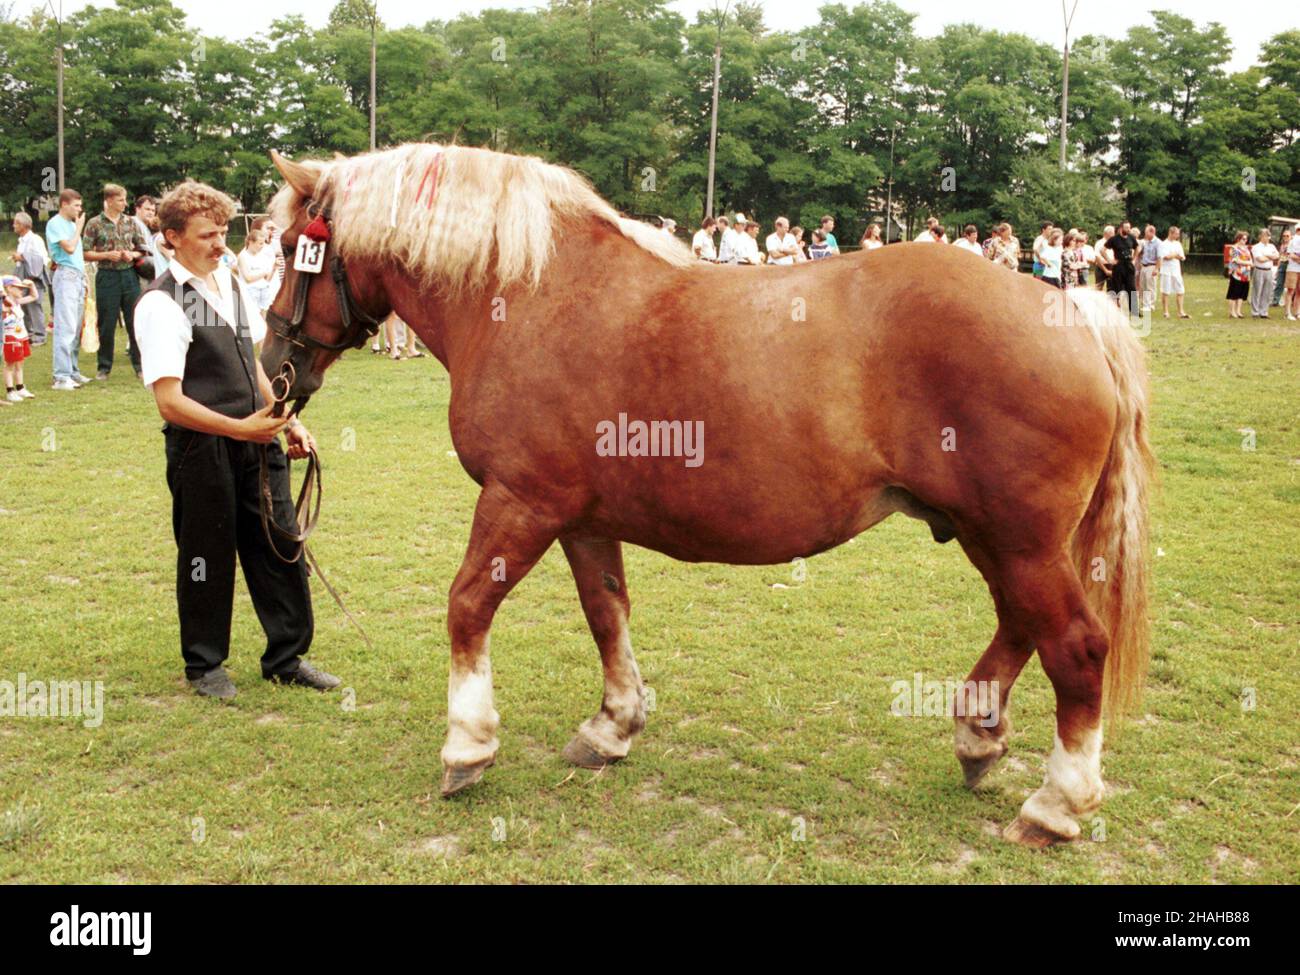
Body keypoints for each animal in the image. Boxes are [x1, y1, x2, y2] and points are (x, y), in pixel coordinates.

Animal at [262, 143, 1154, 847]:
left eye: (291, 247)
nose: (277, 364)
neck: (530, 297)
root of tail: (1072, 310)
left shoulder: (521, 502)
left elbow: (466, 607)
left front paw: (468, 748)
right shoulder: (580, 518)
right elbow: (606, 611)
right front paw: (612, 725)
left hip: (1018, 538)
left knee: (1075, 645)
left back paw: (1056, 803)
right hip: (992, 533)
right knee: (1022, 626)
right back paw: (977, 736)